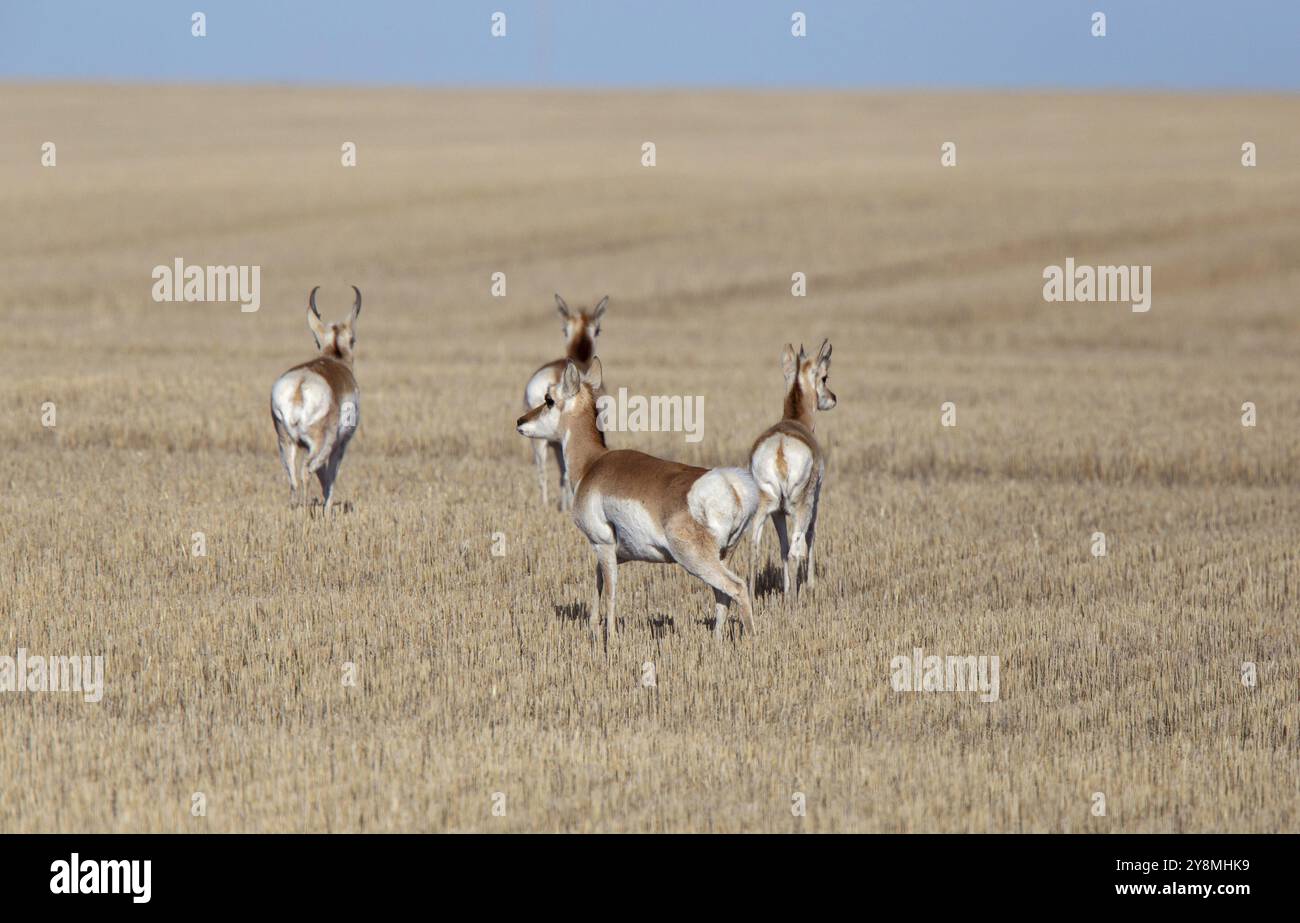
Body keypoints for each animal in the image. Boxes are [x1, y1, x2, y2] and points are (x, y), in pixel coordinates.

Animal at [270, 286, 361, 512]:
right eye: (353, 339)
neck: (334, 358)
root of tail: (299, 385)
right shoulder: (340, 445)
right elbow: (330, 477)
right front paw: (327, 511)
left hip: (286, 442)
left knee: (293, 478)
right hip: (321, 444)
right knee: (306, 470)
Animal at [516, 358, 759, 640]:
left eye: (549, 399)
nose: (520, 421)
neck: (592, 464)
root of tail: (731, 484)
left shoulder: (602, 545)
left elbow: (611, 591)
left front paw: (610, 637)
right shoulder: (611, 553)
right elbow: (598, 583)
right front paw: (593, 628)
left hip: (695, 559)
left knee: (737, 587)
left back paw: (751, 640)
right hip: (722, 556)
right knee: (723, 595)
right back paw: (716, 641)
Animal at [750, 340, 836, 595]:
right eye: (824, 377)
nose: (833, 397)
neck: (795, 421)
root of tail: (780, 447)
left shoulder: (778, 513)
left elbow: (782, 546)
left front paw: (787, 588)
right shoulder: (815, 502)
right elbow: (811, 537)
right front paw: (809, 585)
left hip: (765, 508)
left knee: (755, 548)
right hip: (801, 509)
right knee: (797, 549)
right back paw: (796, 599)